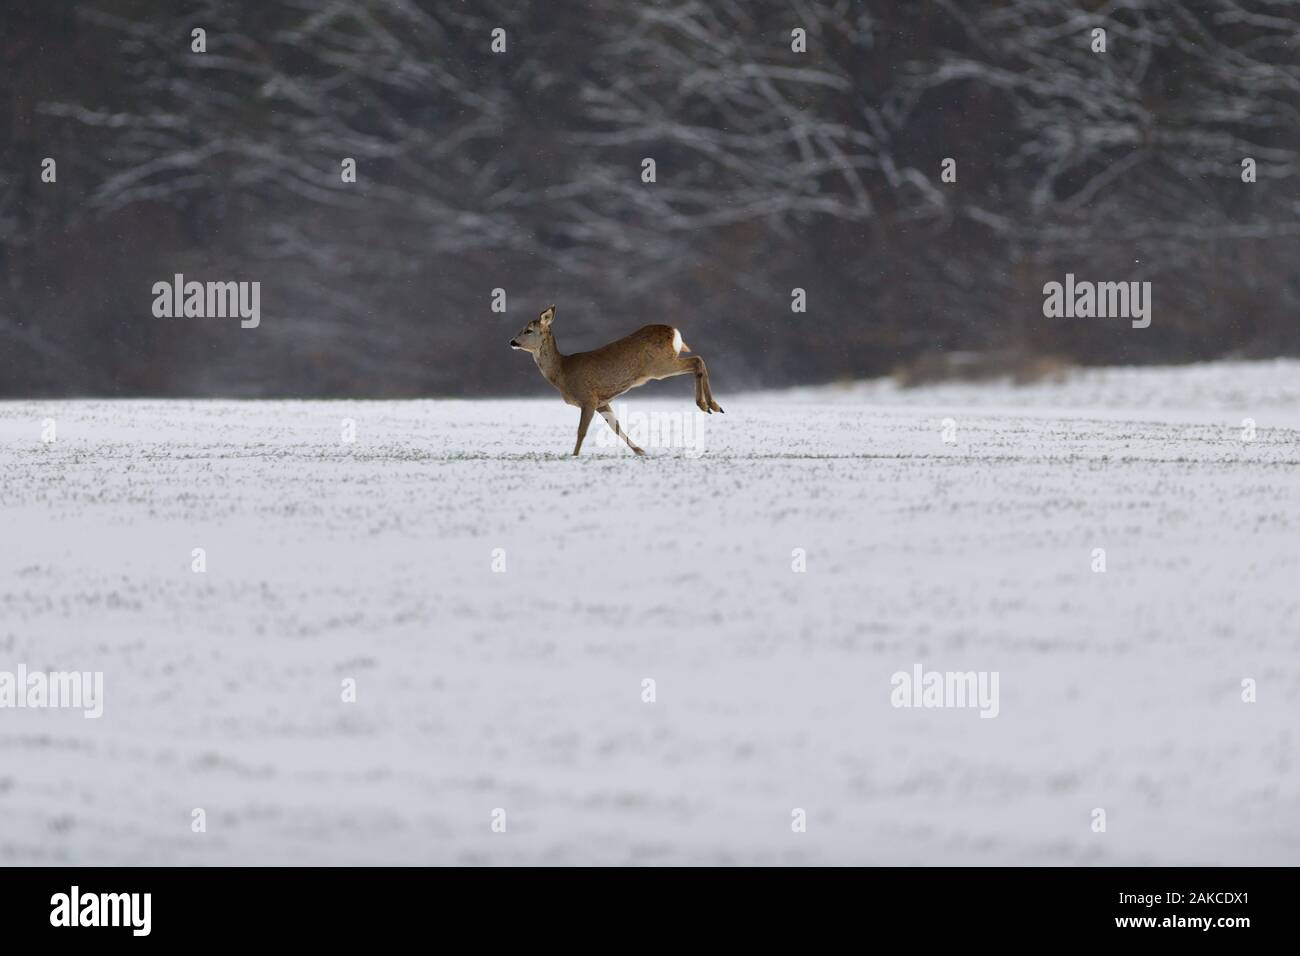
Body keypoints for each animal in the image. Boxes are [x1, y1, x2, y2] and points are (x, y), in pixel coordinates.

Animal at [509, 305, 723, 456]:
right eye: (521, 329)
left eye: (528, 330)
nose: (512, 341)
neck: (562, 372)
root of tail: (674, 331)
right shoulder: (602, 402)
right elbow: (616, 427)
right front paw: (640, 451)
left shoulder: (588, 398)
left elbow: (581, 431)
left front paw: (574, 455)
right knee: (699, 361)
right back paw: (713, 406)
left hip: (660, 366)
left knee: (697, 361)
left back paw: (706, 404)